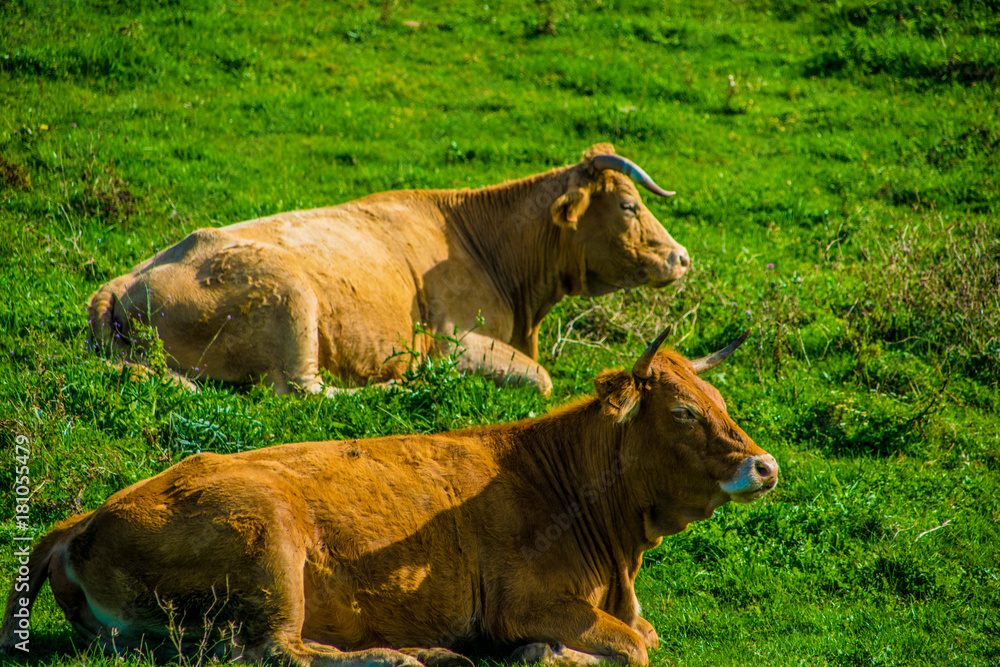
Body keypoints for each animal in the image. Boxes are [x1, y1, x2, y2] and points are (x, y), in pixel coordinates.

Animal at [1, 328, 777, 666]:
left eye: (720, 400)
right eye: (684, 412)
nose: (765, 466)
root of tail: (87, 516)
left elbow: (645, 635)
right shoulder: (526, 600)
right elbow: (635, 647)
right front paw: (546, 654)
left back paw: (431, 653)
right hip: (269, 543)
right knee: (275, 651)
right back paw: (400, 657)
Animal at [86, 143, 690, 396]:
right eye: (629, 206)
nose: (681, 257)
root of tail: (120, 282)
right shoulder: (455, 339)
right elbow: (540, 379)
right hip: (291, 301)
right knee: (305, 393)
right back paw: (400, 383)